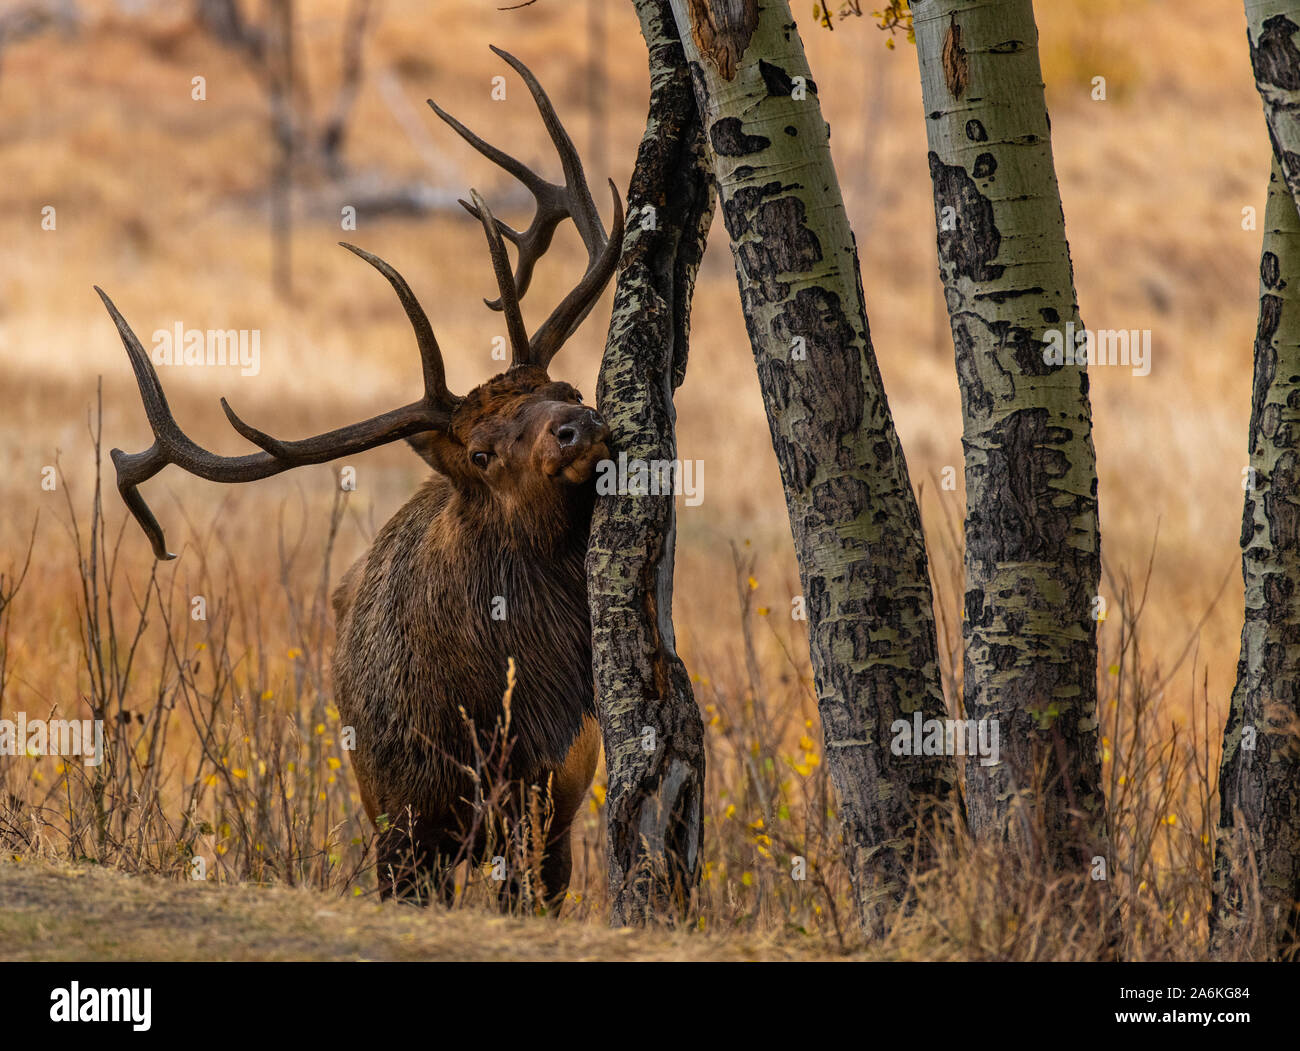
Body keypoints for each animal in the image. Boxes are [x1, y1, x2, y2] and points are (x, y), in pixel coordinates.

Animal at [95, 47, 624, 910]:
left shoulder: (550, 800)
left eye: (565, 387)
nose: (579, 425)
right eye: (481, 452)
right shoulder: (401, 816)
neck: (485, 716)